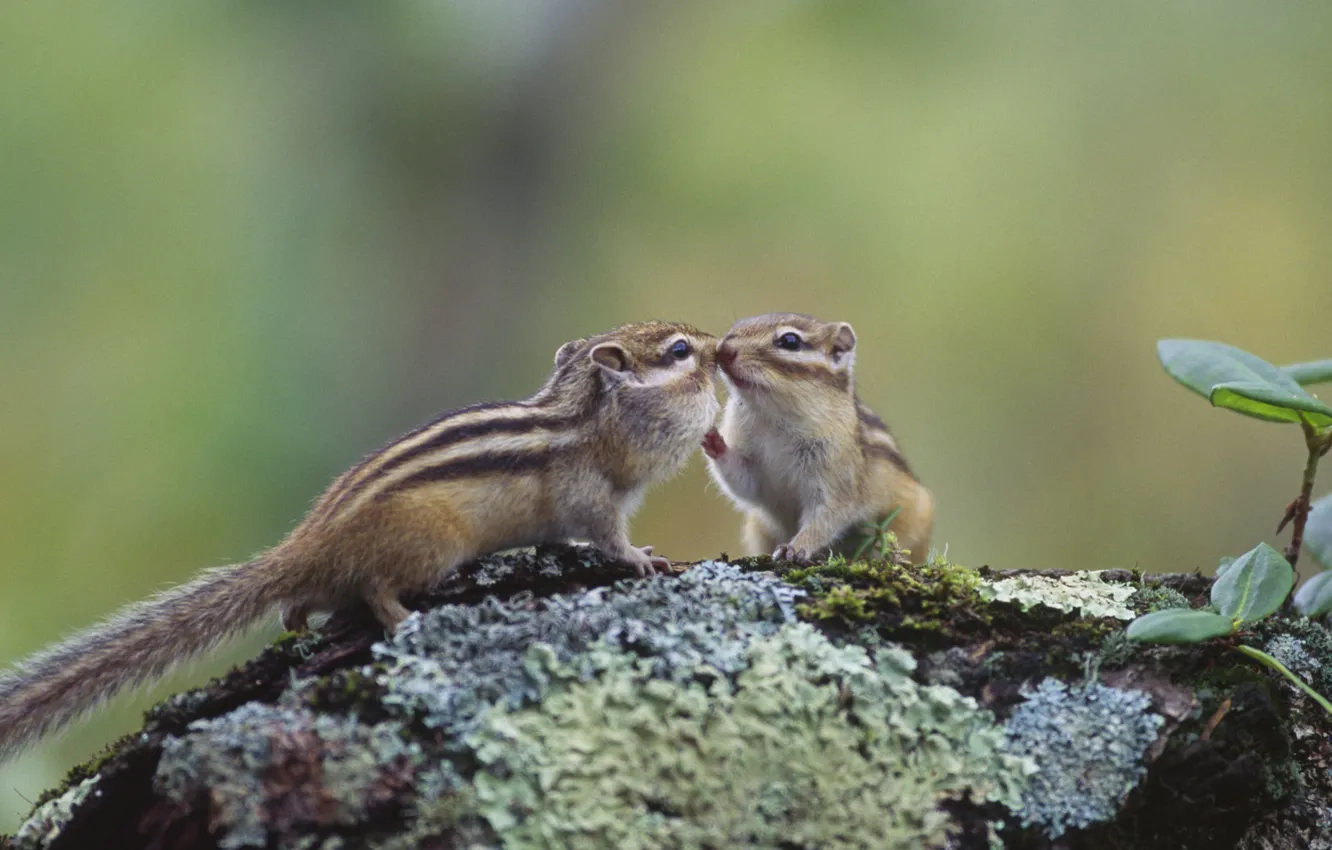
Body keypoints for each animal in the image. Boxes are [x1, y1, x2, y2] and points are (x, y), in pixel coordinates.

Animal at [0, 320, 719, 762]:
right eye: (681, 352)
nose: (719, 348)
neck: (578, 418)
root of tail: (307, 545)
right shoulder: (593, 495)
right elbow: (607, 537)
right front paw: (643, 558)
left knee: (303, 605)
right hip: (429, 548)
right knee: (372, 586)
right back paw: (400, 618)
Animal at [702, 312, 934, 565]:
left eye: (790, 341)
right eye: (737, 326)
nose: (723, 349)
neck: (771, 418)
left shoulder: (837, 477)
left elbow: (826, 517)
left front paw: (795, 548)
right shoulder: (756, 473)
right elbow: (743, 483)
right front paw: (714, 441)